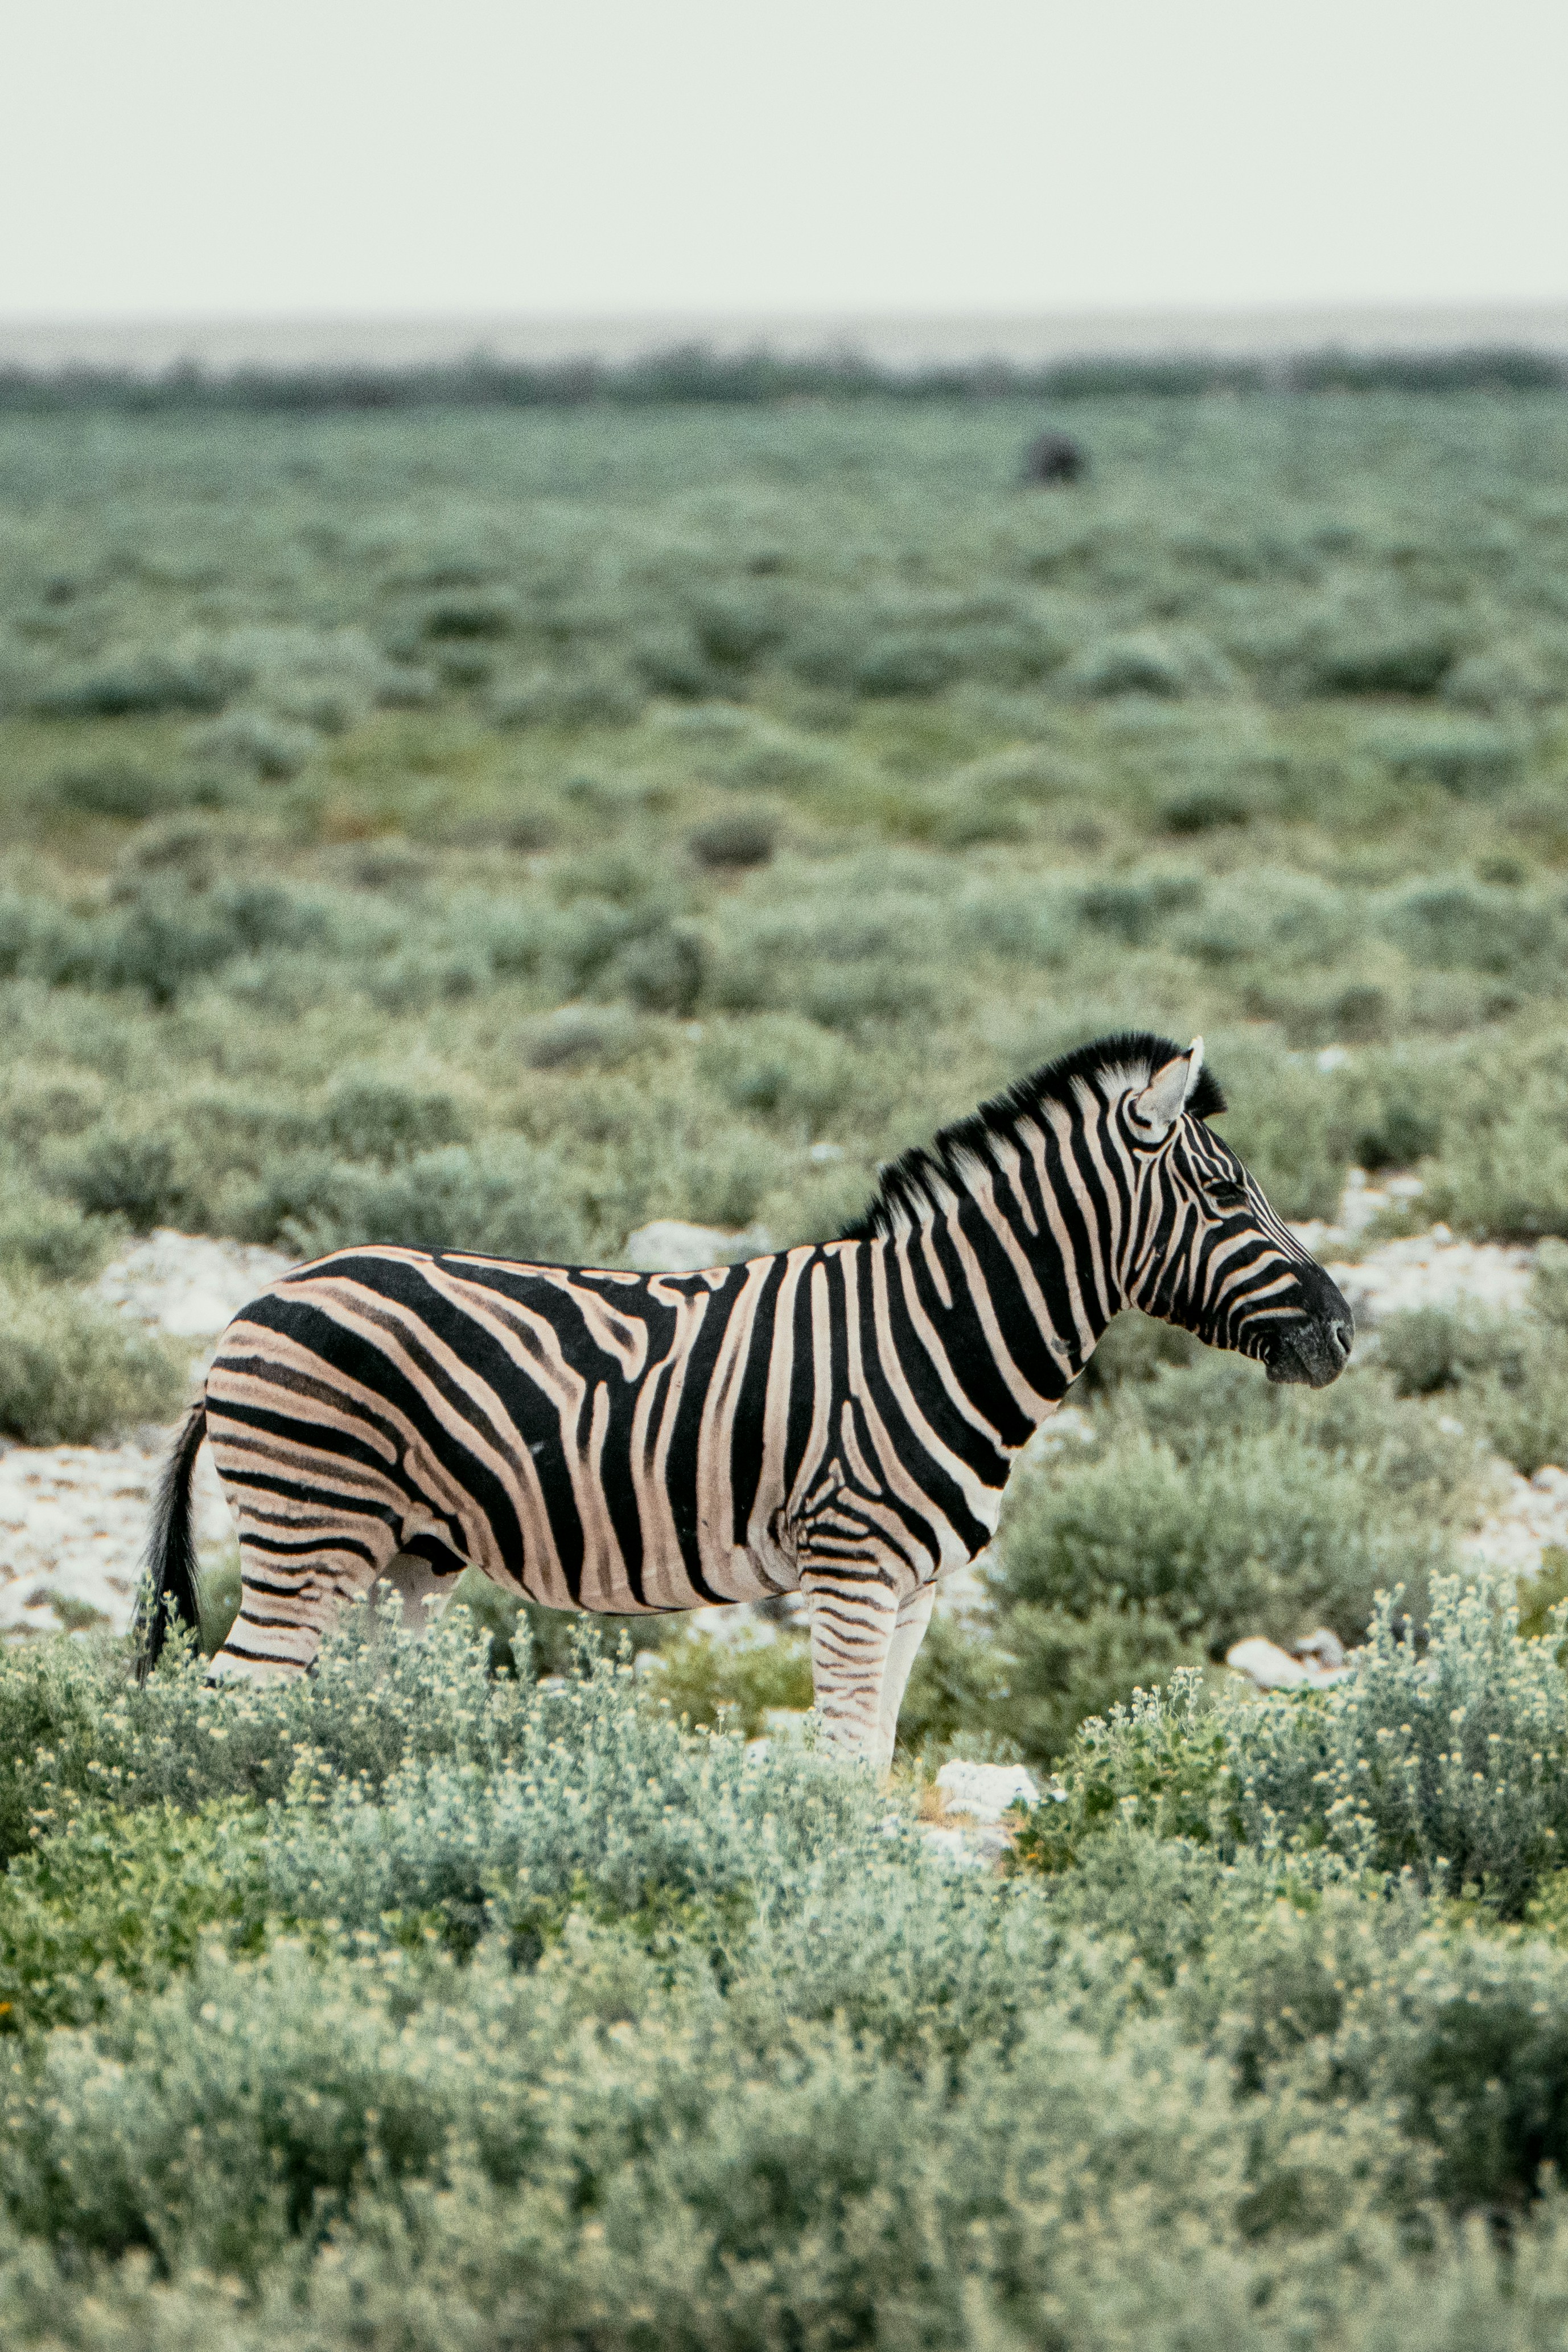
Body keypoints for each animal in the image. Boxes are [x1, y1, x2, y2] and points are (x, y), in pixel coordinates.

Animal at [138, 1032, 1353, 1763]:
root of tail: (251, 1308)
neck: (939, 1330)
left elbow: (877, 1758)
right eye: (1225, 1193)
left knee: (339, 1712)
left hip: (399, 1557)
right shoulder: (854, 1566)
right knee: (232, 1704)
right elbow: (844, 1760)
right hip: (312, 1532)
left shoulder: (919, 1588)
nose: (1340, 1332)